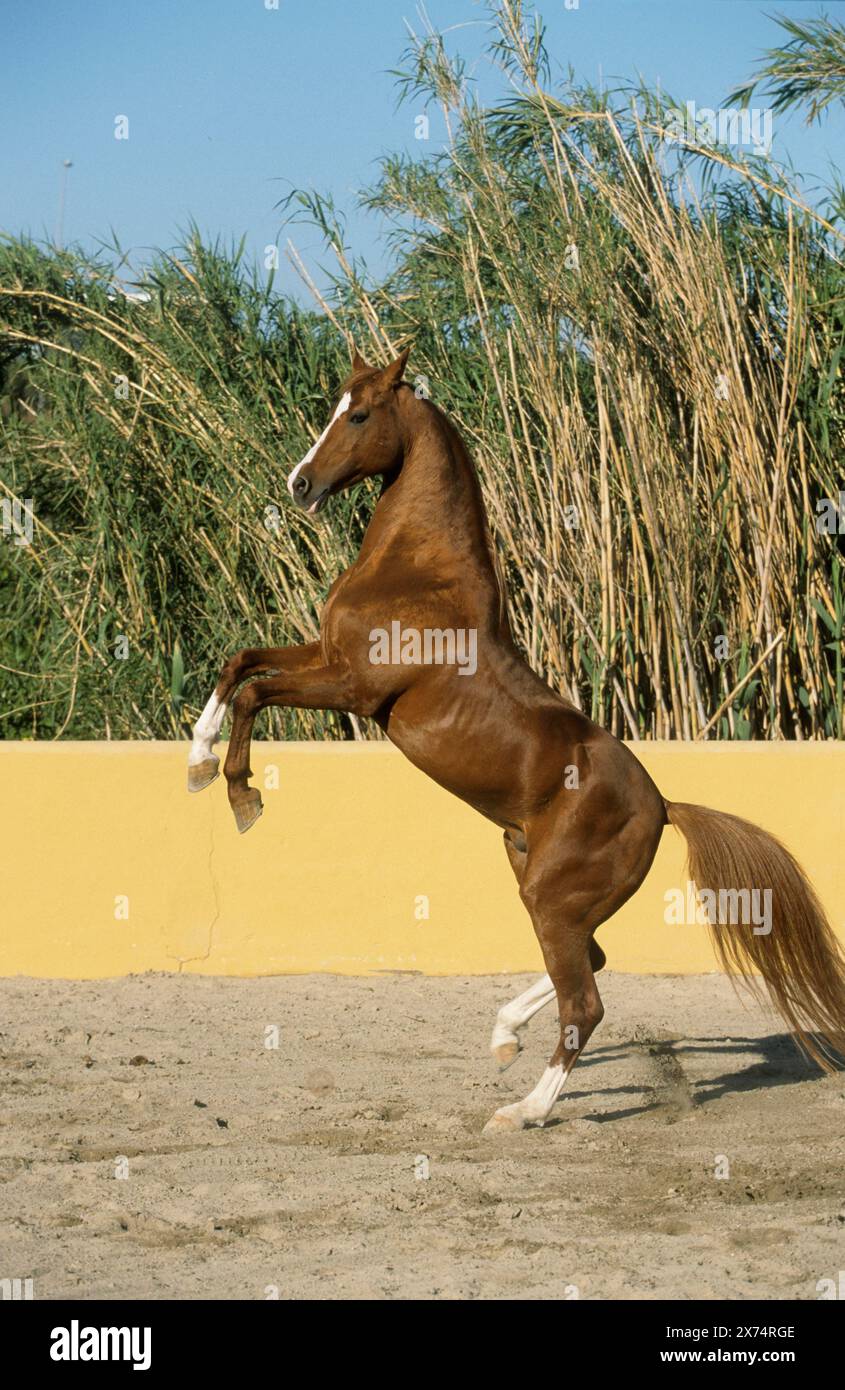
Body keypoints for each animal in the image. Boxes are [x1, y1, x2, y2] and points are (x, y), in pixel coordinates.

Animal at [188, 347, 845, 1131]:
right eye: (334, 405)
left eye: (360, 415)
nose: (300, 483)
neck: (418, 573)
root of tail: (663, 808)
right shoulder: (324, 656)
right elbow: (239, 665)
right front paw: (197, 760)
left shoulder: (353, 686)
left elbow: (255, 691)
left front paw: (241, 797)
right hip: (536, 876)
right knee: (590, 964)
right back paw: (503, 1037)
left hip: (552, 896)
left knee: (585, 1002)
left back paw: (523, 1109)